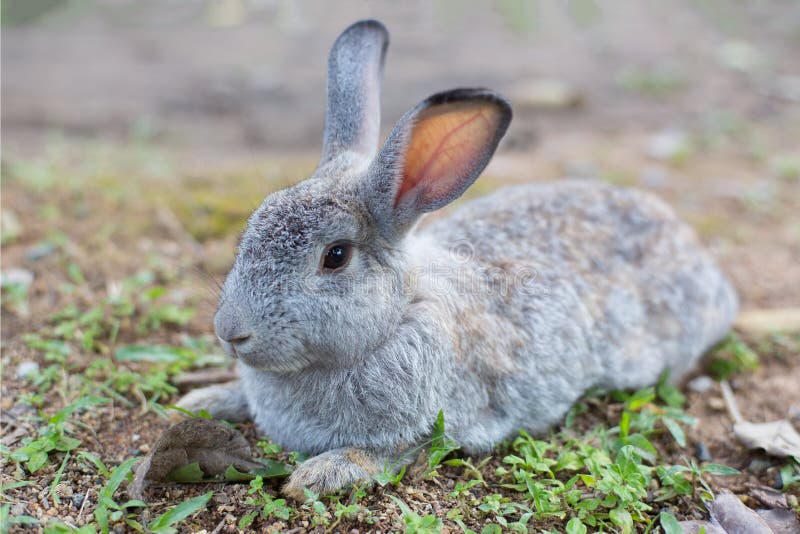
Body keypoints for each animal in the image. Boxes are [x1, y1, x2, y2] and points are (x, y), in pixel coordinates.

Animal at [176, 19, 738, 499]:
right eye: (251, 228)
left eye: (335, 257)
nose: (230, 331)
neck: (397, 315)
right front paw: (200, 402)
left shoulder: (439, 426)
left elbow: (386, 453)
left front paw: (317, 475)